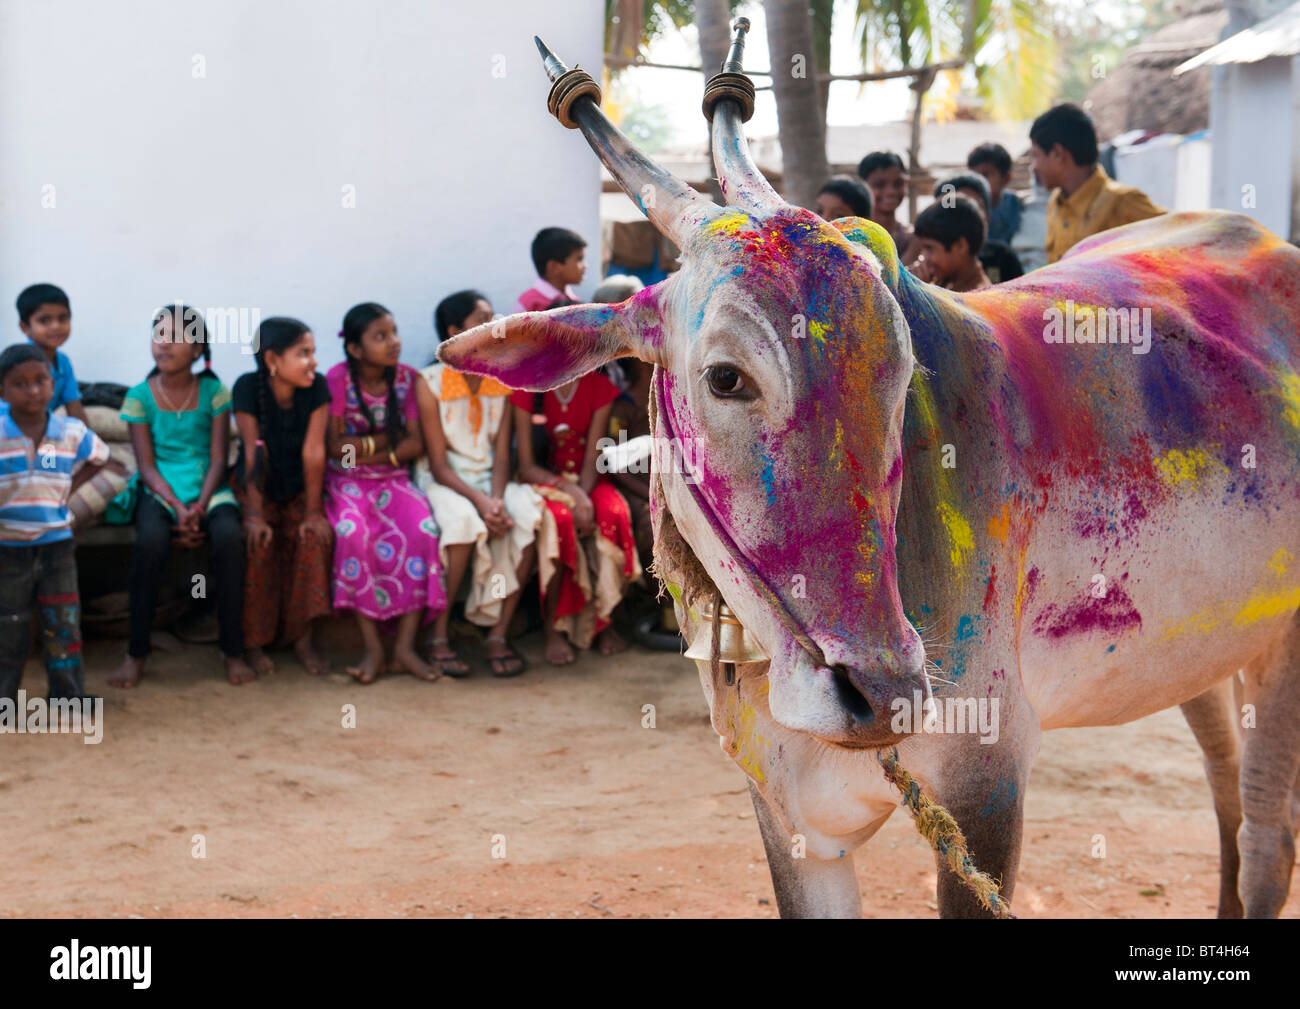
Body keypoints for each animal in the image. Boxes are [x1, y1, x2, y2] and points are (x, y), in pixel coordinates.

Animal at [439, 25, 1300, 918]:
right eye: (726, 377)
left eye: (901, 367)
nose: (883, 691)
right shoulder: (787, 815)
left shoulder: (986, 783)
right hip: (1206, 650)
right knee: (1227, 788)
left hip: (1284, 651)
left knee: (1268, 837)